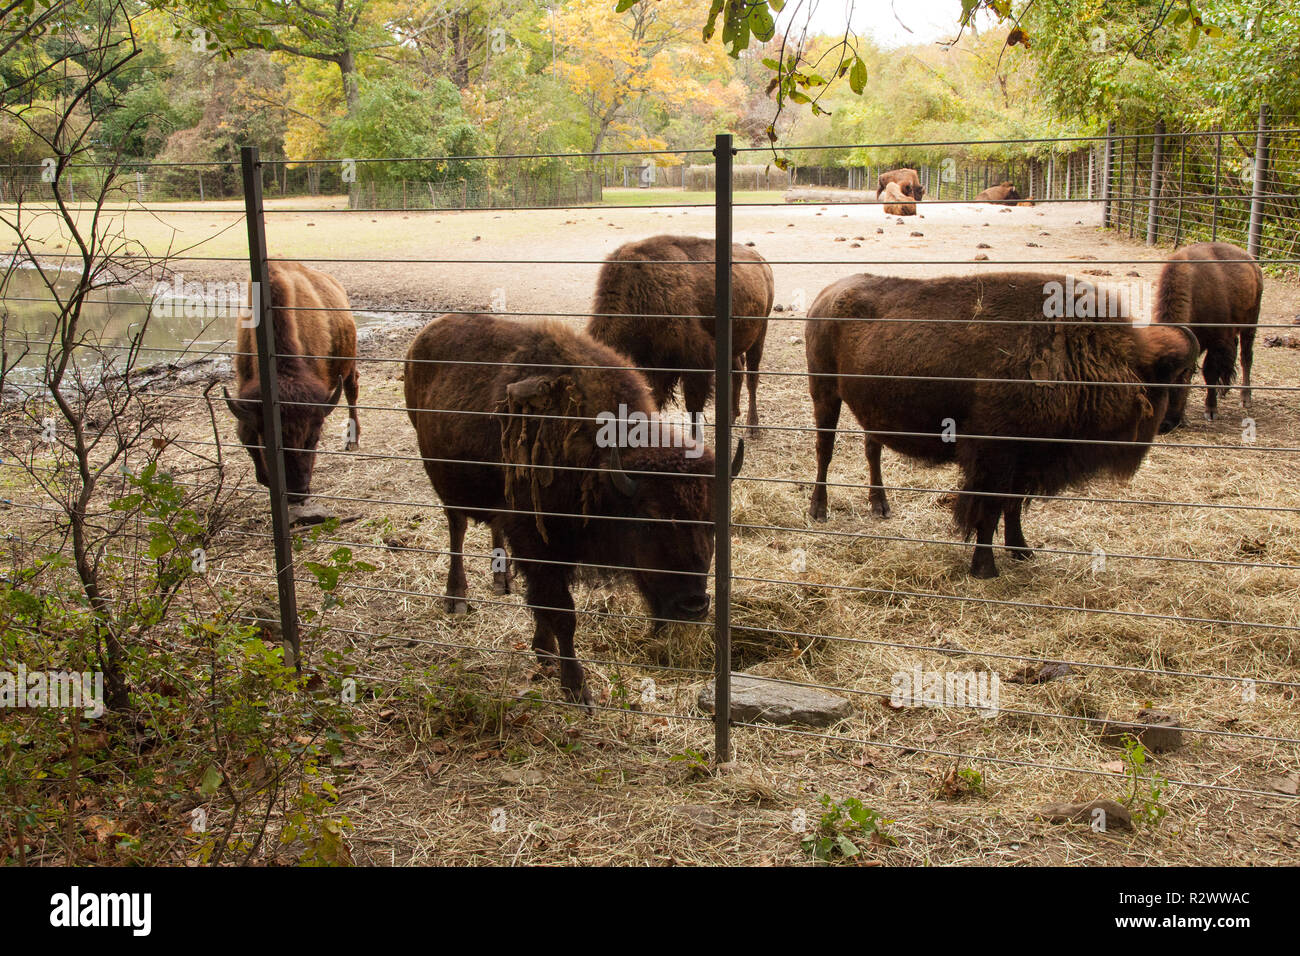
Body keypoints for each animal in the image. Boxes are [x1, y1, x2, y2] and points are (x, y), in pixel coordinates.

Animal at [224, 260, 359, 504]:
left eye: (313, 439)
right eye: (266, 440)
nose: (297, 492)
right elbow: (246, 436)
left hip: (349, 363)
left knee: (351, 391)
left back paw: (352, 440)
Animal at [405, 312, 740, 704]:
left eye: (713, 523)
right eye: (650, 520)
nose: (694, 607)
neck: (600, 466)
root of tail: (426, 335)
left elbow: (542, 602)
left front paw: (544, 652)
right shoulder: (539, 543)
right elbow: (561, 611)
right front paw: (576, 687)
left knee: (492, 528)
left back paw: (501, 579)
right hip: (443, 478)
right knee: (456, 527)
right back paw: (457, 597)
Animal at [586, 235, 773, 439]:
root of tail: (762, 262)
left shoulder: (695, 363)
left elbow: (693, 406)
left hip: (760, 333)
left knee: (752, 378)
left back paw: (752, 427)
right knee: (738, 372)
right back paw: (732, 417)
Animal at [805, 272, 1200, 578]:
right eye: (1169, 378)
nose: (1169, 423)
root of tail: (825, 296)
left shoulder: (1024, 460)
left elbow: (1012, 505)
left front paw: (1021, 549)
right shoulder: (993, 457)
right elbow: (989, 509)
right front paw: (985, 567)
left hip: (867, 410)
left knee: (871, 449)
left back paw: (880, 506)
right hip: (824, 394)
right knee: (824, 450)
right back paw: (818, 510)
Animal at [1154, 241, 1264, 425]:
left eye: (1178, 380)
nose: (1164, 424)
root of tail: (1252, 262)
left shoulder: (1217, 342)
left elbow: (1209, 372)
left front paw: (1211, 411)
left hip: (1250, 324)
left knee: (1246, 357)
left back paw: (1245, 398)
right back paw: (1224, 390)